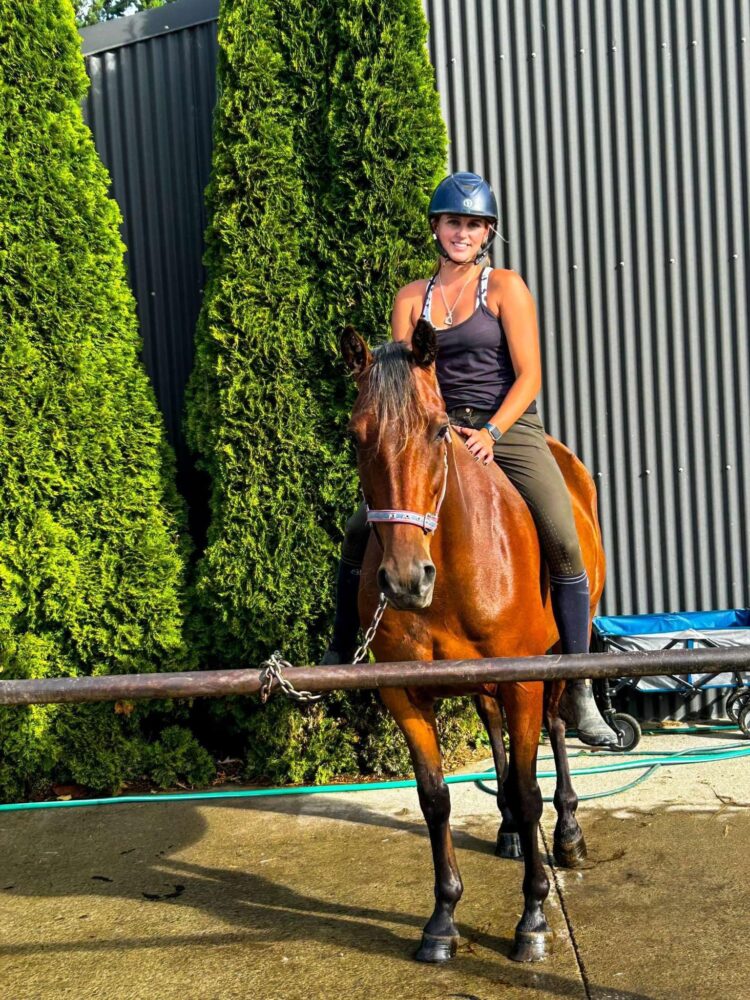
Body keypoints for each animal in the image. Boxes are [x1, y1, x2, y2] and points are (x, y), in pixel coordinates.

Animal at [341, 320, 606, 964]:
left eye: (440, 429)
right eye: (356, 436)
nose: (404, 581)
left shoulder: (522, 679)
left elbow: (531, 789)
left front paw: (533, 918)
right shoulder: (405, 695)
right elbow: (435, 798)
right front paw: (442, 919)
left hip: (554, 657)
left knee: (557, 726)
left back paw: (567, 832)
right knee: (493, 728)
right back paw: (509, 829)